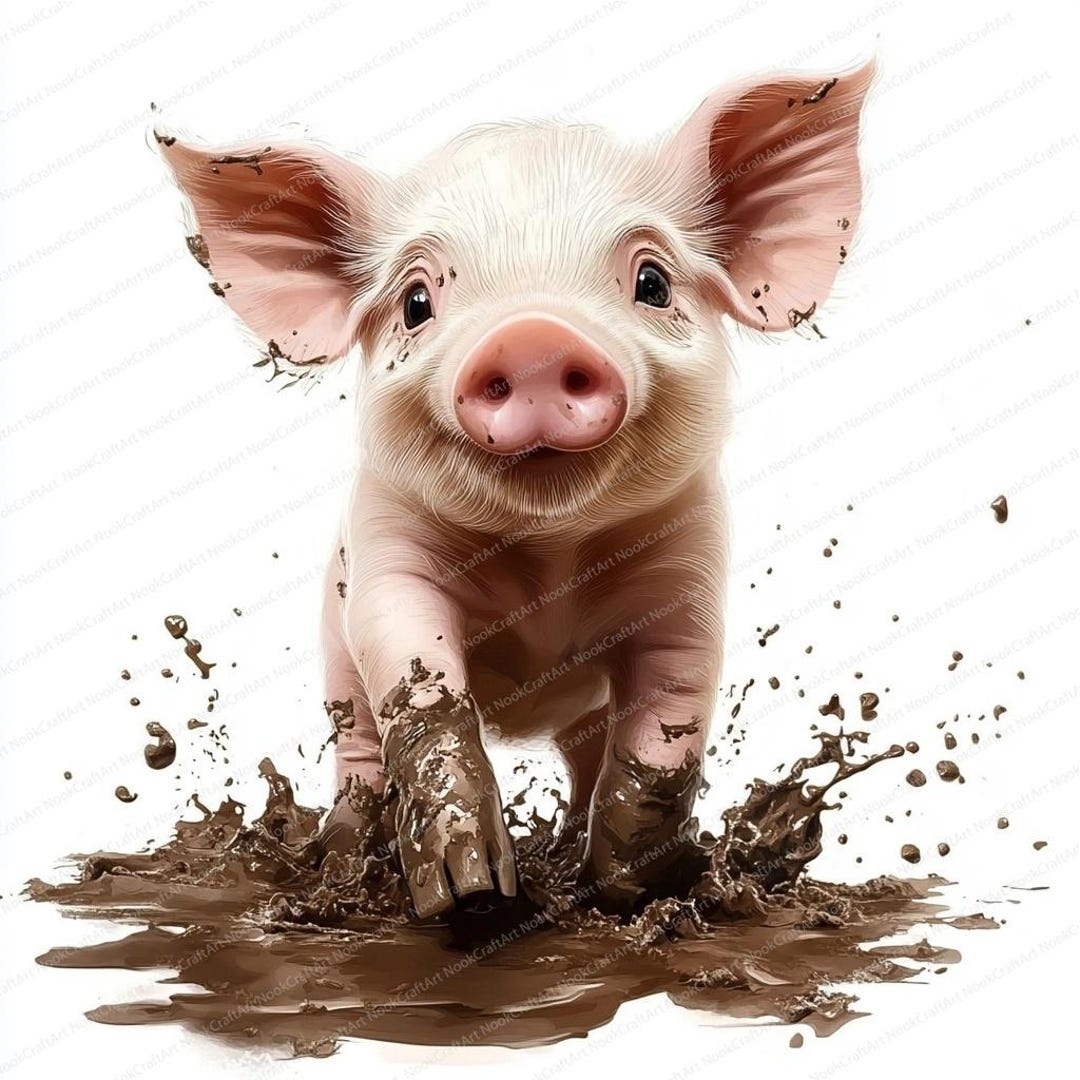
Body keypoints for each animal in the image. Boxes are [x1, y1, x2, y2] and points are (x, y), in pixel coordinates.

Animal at [157, 62, 873, 917]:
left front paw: (630, 894)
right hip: (334, 663)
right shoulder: (384, 555)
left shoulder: (689, 574)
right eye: (417, 302)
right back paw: (342, 865)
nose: (534, 336)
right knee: (359, 755)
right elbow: (421, 684)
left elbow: (665, 733)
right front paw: (470, 897)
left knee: (587, 757)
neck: (548, 555)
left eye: (653, 282)